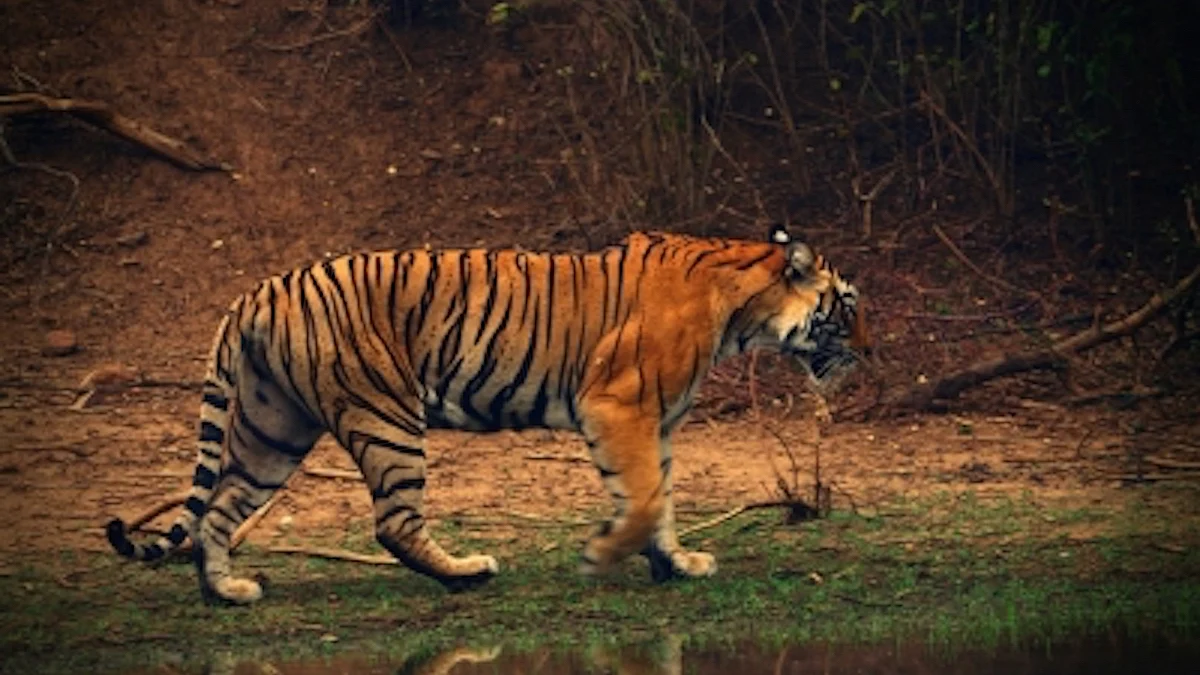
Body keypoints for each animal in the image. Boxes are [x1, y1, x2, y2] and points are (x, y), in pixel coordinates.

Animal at [106, 225, 868, 605]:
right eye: (848, 306)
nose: (870, 350)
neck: (744, 309)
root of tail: (257, 292)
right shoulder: (617, 404)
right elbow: (647, 498)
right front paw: (602, 556)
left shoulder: (656, 422)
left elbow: (660, 499)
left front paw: (675, 563)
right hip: (385, 415)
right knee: (393, 522)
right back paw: (466, 571)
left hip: (275, 426)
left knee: (218, 509)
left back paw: (228, 590)